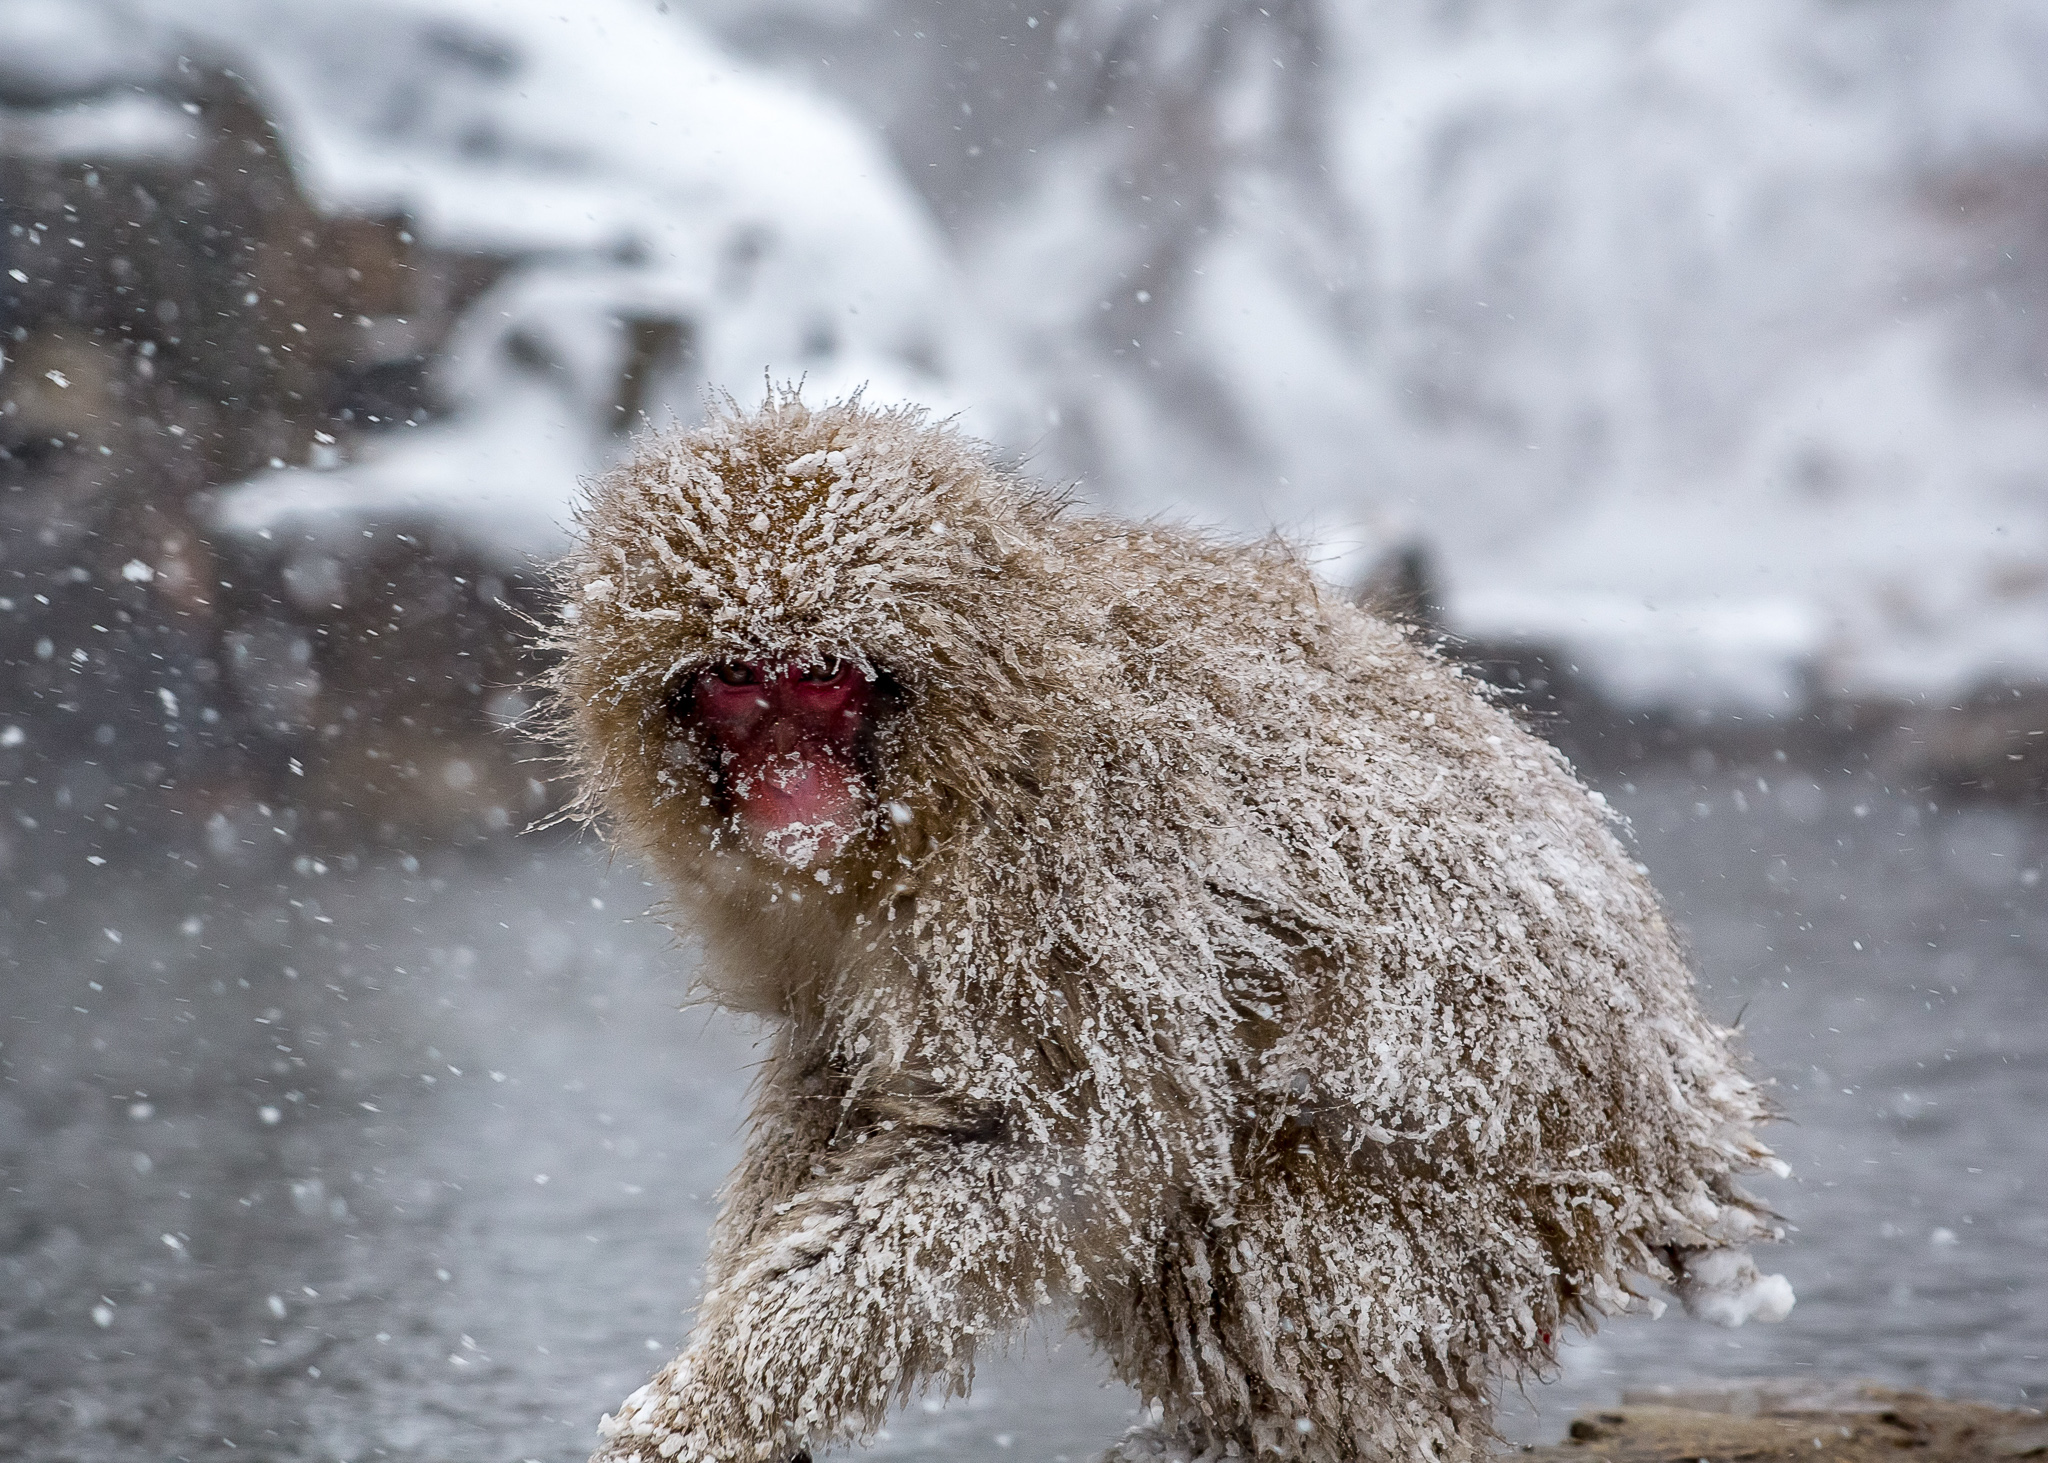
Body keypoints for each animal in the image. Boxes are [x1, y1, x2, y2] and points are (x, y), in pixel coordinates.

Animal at [549, 391, 1791, 1463]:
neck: (966, 764)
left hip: (1504, 1207)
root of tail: (1684, 1137)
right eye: (733, 685)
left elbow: (1079, 1141)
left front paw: (708, 1408)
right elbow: (835, 1067)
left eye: (818, 682)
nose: (786, 782)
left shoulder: (1064, 864)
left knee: (1242, 1188)